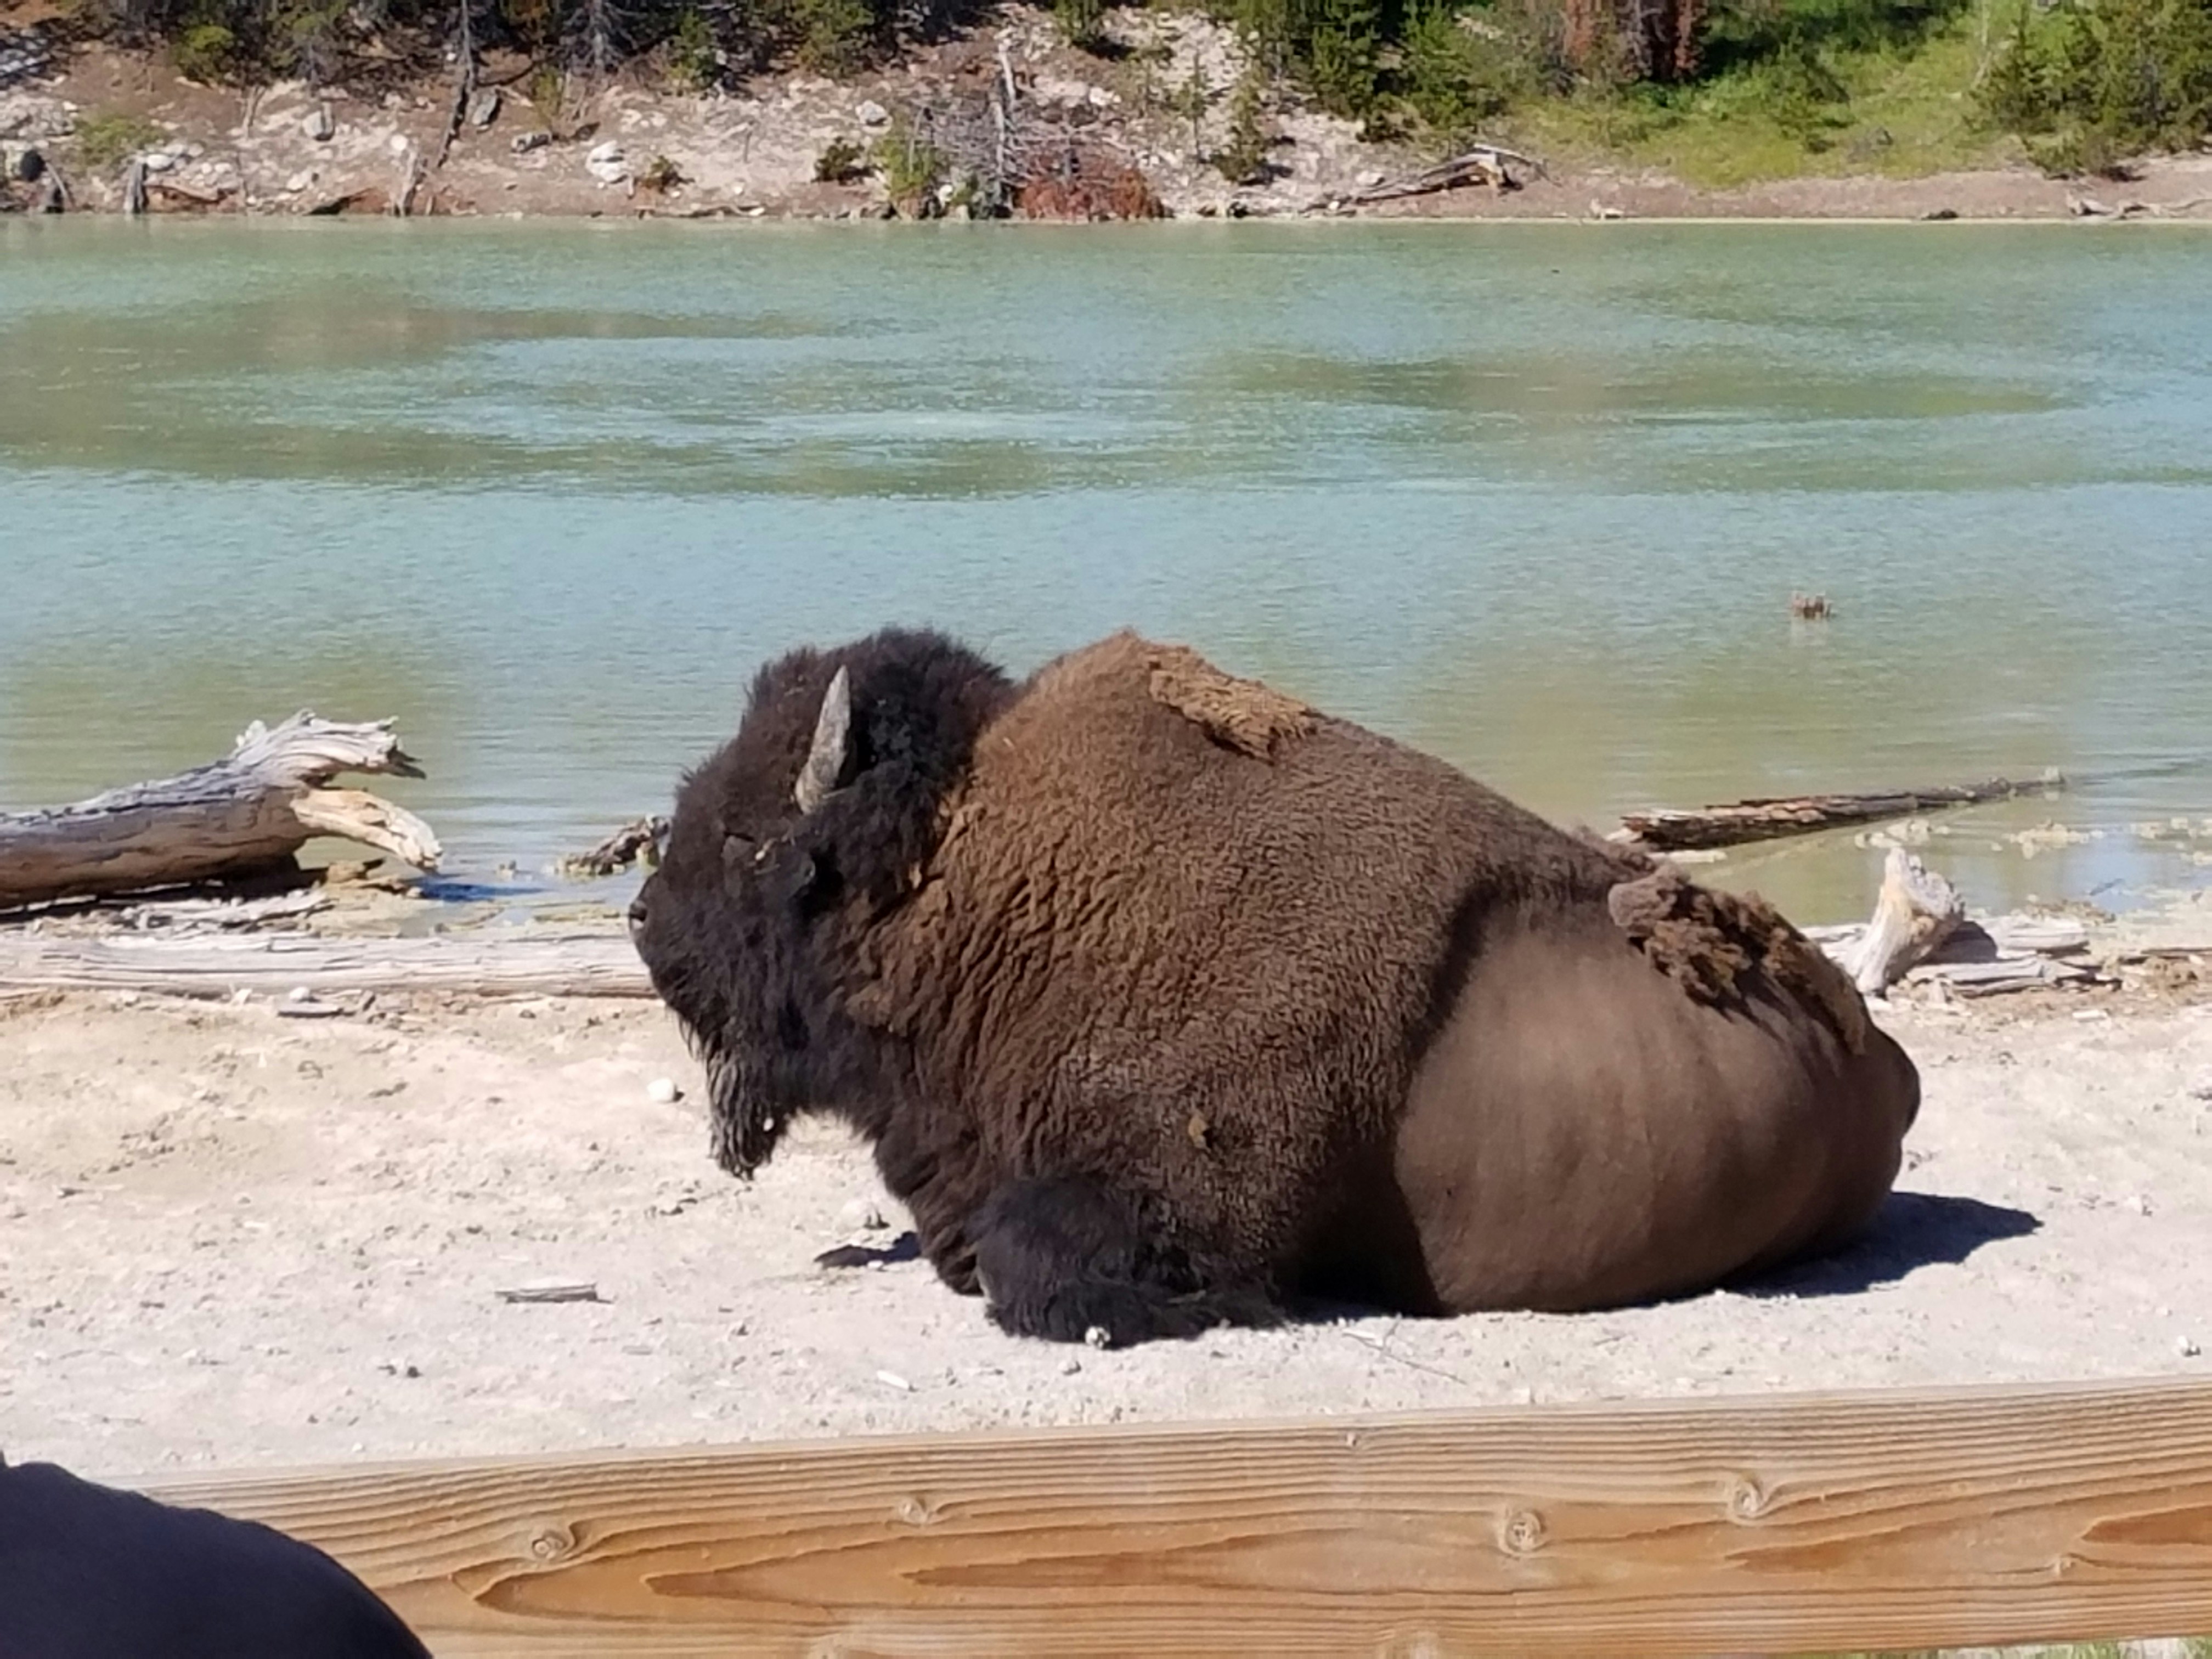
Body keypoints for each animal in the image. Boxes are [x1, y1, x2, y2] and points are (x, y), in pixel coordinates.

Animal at [630, 628, 1919, 1346]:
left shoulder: (1184, 1198)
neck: (979, 880)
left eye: (749, 839)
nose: (643, 922)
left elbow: (1031, 1262)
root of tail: (1881, 1055)